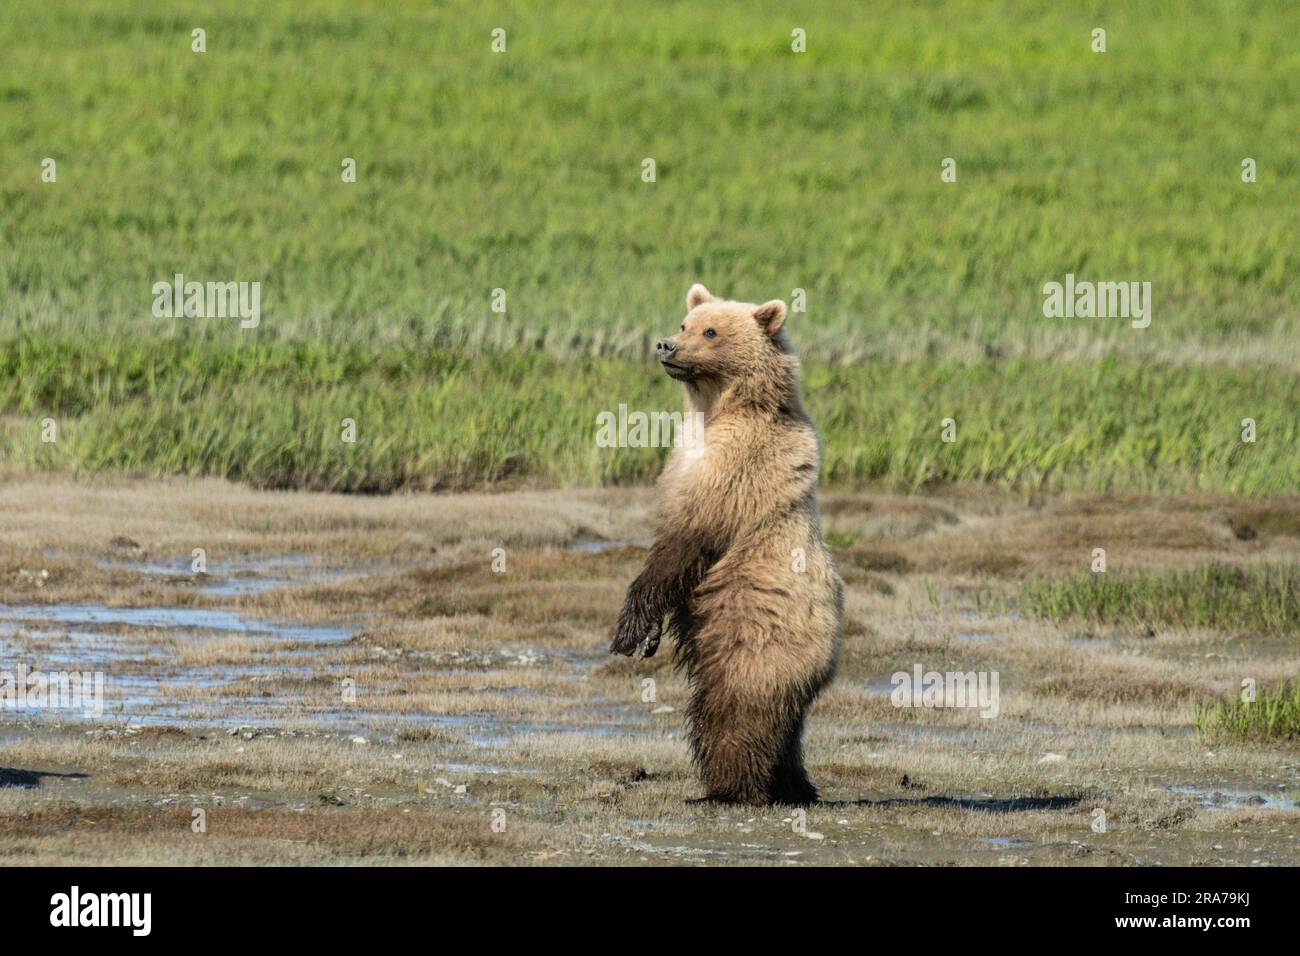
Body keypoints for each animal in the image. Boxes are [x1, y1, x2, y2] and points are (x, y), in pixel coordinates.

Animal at [609, 283, 844, 806]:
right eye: (685, 324)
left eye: (711, 332)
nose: (666, 345)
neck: (717, 409)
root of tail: (831, 658)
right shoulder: (682, 459)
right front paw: (648, 635)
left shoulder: (734, 469)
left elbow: (683, 544)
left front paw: (629, 627)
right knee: (787, 728)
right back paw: (795, 785)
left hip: (753, 631)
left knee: (734, 708)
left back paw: (728, 788)